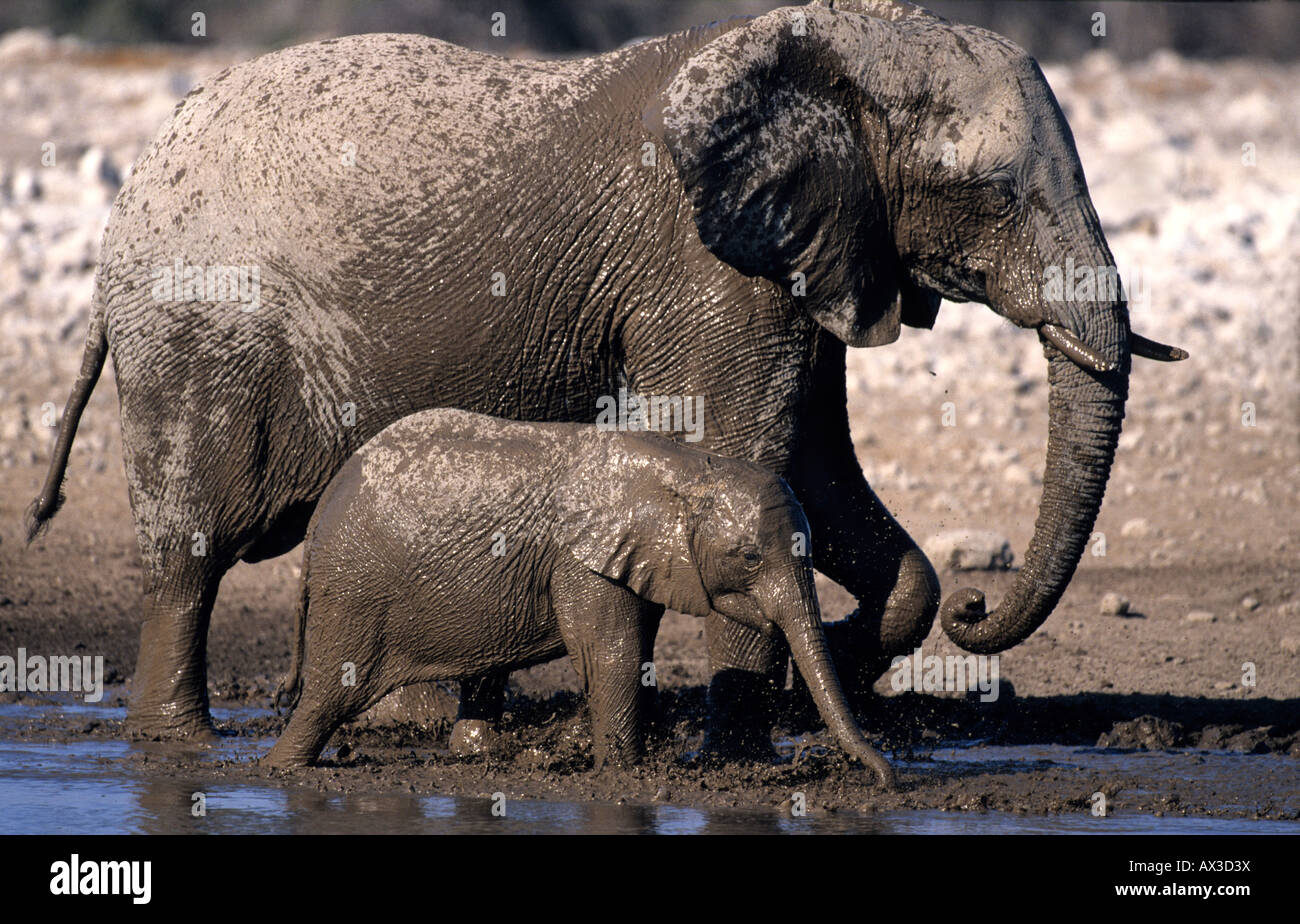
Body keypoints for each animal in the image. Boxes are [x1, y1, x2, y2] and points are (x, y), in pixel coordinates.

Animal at [27, 0, 1184, 743]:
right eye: (992, 191)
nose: (982, 614)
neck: (828, 40)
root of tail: (124, 206)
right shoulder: (704, 265)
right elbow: (743, 450)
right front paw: (742, 741)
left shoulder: (799, 255)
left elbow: (821, 471)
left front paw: (846, 658)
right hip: (195, 340)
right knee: (190, 552)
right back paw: (180, 745)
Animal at [265, 408, 896, 784]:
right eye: (749, 558)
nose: (885, 778)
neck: (687, 469)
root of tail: (324, 506)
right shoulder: (582, 560)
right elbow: (613, 655)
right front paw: (623, 774)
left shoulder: (636, 560)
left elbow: (634, 651)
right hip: (355, 590)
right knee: (330, 695)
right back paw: (279, 770)